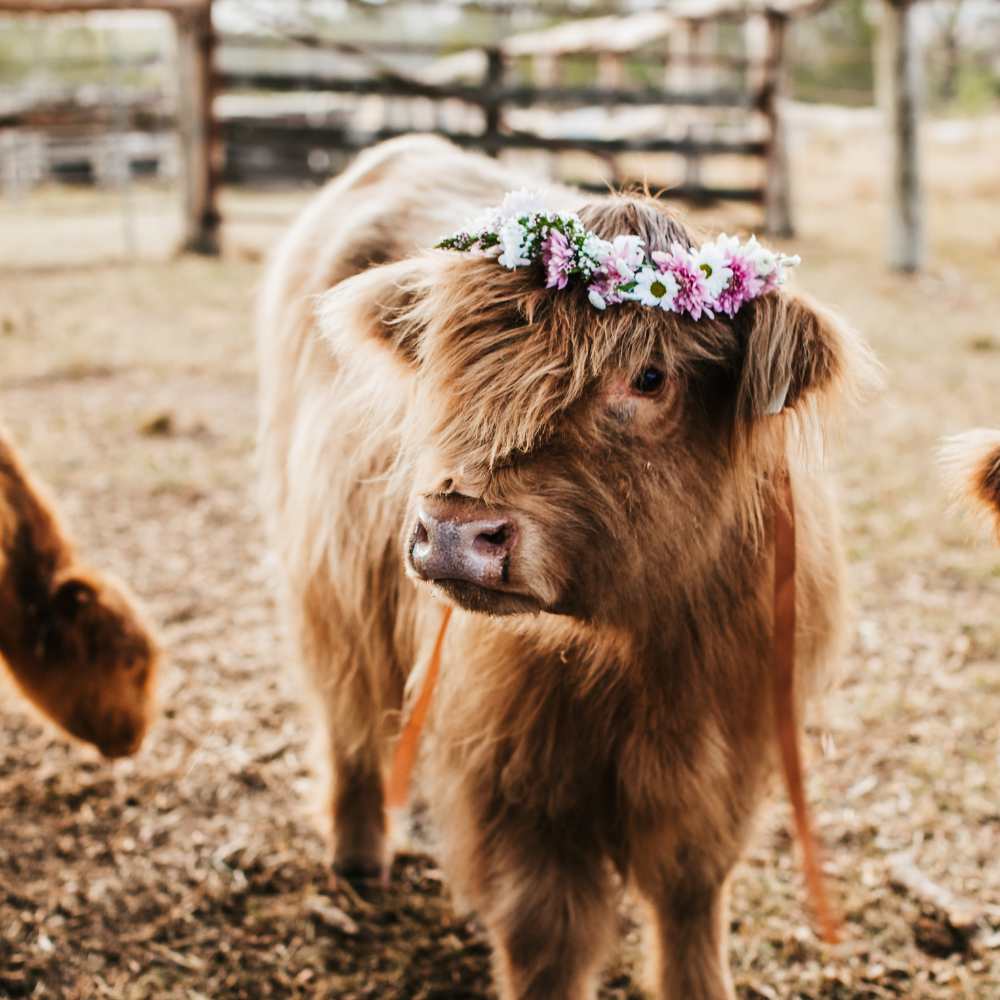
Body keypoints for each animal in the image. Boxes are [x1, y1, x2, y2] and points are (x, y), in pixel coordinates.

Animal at [257, 135, 876, 999]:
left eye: (649, 376)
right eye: (451, 364)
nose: (455, 531)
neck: (644, 654)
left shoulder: (727, 765)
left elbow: (691, 900)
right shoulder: (516, 784)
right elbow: (548, 936)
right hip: (326, 580)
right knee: (347, 715)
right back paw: (358, 856)